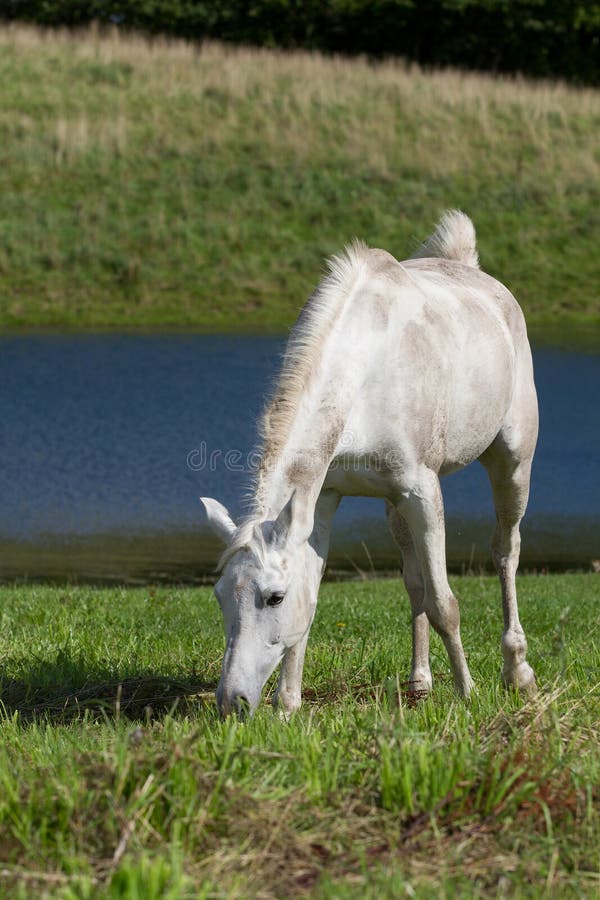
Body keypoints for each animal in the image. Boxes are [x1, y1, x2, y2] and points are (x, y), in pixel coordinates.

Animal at [201, 210, 538, 717]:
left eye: (273, 598)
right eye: (221, 595)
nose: (231, 702)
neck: (365, 373)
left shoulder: (423, 492)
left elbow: (445, 604)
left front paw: (468, 692)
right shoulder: (324, 499)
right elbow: (318, 599)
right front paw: (287, 706)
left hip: (512, 463)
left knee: (505, 551)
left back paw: (517, 671)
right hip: (393, 504)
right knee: (415, 580)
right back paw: (420, 683)